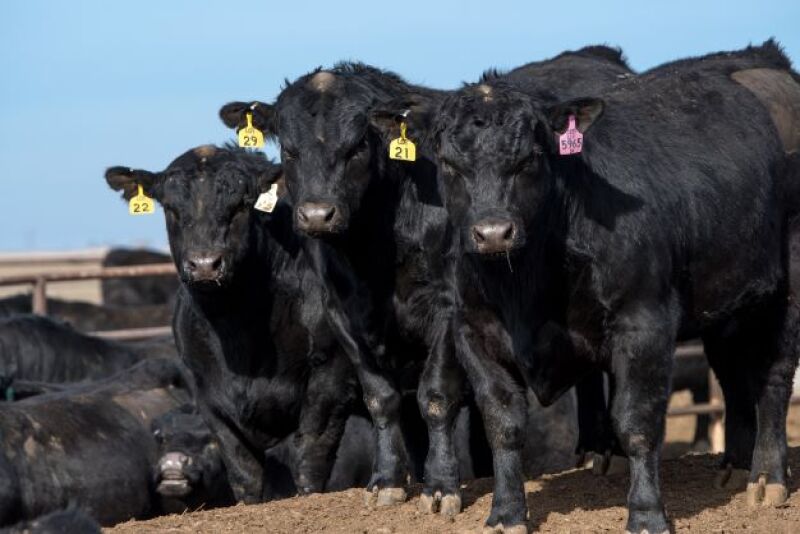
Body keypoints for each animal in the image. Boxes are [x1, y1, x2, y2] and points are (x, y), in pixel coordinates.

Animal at [104, 145, 359, 503]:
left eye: (241, 205)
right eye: (170, 208)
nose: (204, 264)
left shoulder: (330, 376)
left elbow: (310, 458)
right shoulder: (208, 394)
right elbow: (244, 474)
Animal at [217, 45, 634, 516]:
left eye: (358, 145)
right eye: (289, 150)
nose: (317, 215)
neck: (372, 248)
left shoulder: (448, 308)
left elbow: (435, 396)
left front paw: (440, 486)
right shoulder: (342, 314)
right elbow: (382, 399)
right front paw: (388, 480)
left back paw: (602, 450)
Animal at [417, 40, 800, 533]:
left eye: (530, 159)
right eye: (448, 164)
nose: (493, 233)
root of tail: (764, 57)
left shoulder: (644, 321)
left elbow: (637, 421)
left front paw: (647, 514)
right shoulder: (473, 331)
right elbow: (502, 422)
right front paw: (505, 512)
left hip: (788, 284)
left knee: (773, 376)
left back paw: (767, 476)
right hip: (727, 301)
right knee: (734, 378)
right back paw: (735, 464)